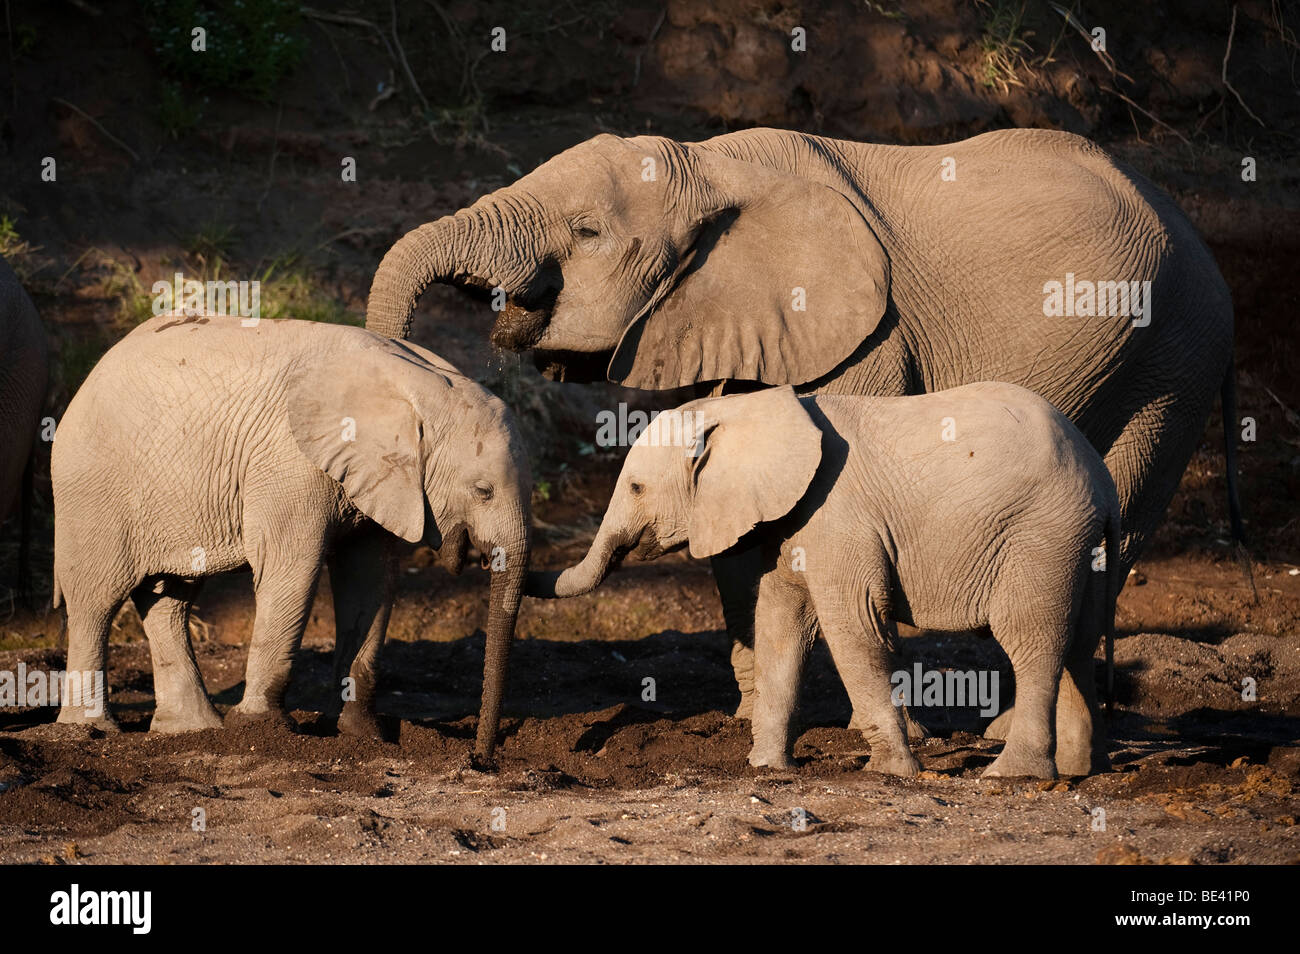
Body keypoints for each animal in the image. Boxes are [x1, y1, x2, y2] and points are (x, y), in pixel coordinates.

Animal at [52, 315, 531, 758]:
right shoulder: (291, 465)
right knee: (96, 600)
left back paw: (194, 730)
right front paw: (260, 729)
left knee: (171, 598)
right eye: (483, 491)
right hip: (91, 491)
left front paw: (364, 736)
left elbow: (370, 581)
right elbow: (293, 570)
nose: (480, 757)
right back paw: (90, 730)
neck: (420, 385)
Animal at [363, 126, 1238, 726]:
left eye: (586, 232)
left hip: (1173, 361)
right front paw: (752, 721)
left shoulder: (865, 339)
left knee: (1113, 525)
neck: (714, 167)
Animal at [527, 384, 1120, 778]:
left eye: (636, 488)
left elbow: (855, 626)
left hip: (1040, 534)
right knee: (1078, 642)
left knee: (1032, 639)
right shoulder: (792, 521)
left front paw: (890, 773)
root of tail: (1100, 476)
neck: (744, 409)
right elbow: (780, 627)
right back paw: (1076, 770)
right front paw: (767, 769)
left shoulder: (839, 518)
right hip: (1075, 541)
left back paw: (1011, 775)